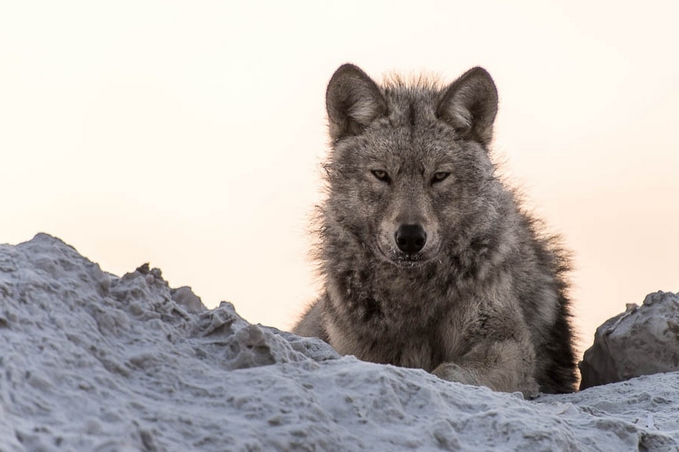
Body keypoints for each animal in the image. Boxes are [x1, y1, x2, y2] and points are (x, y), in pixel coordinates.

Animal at [293, 64, 577, 397]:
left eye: (439, 176)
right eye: (381, 174)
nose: (410, 238)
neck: (411, 293)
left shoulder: (508, 344)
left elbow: (447, 371)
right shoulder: (354, 349)